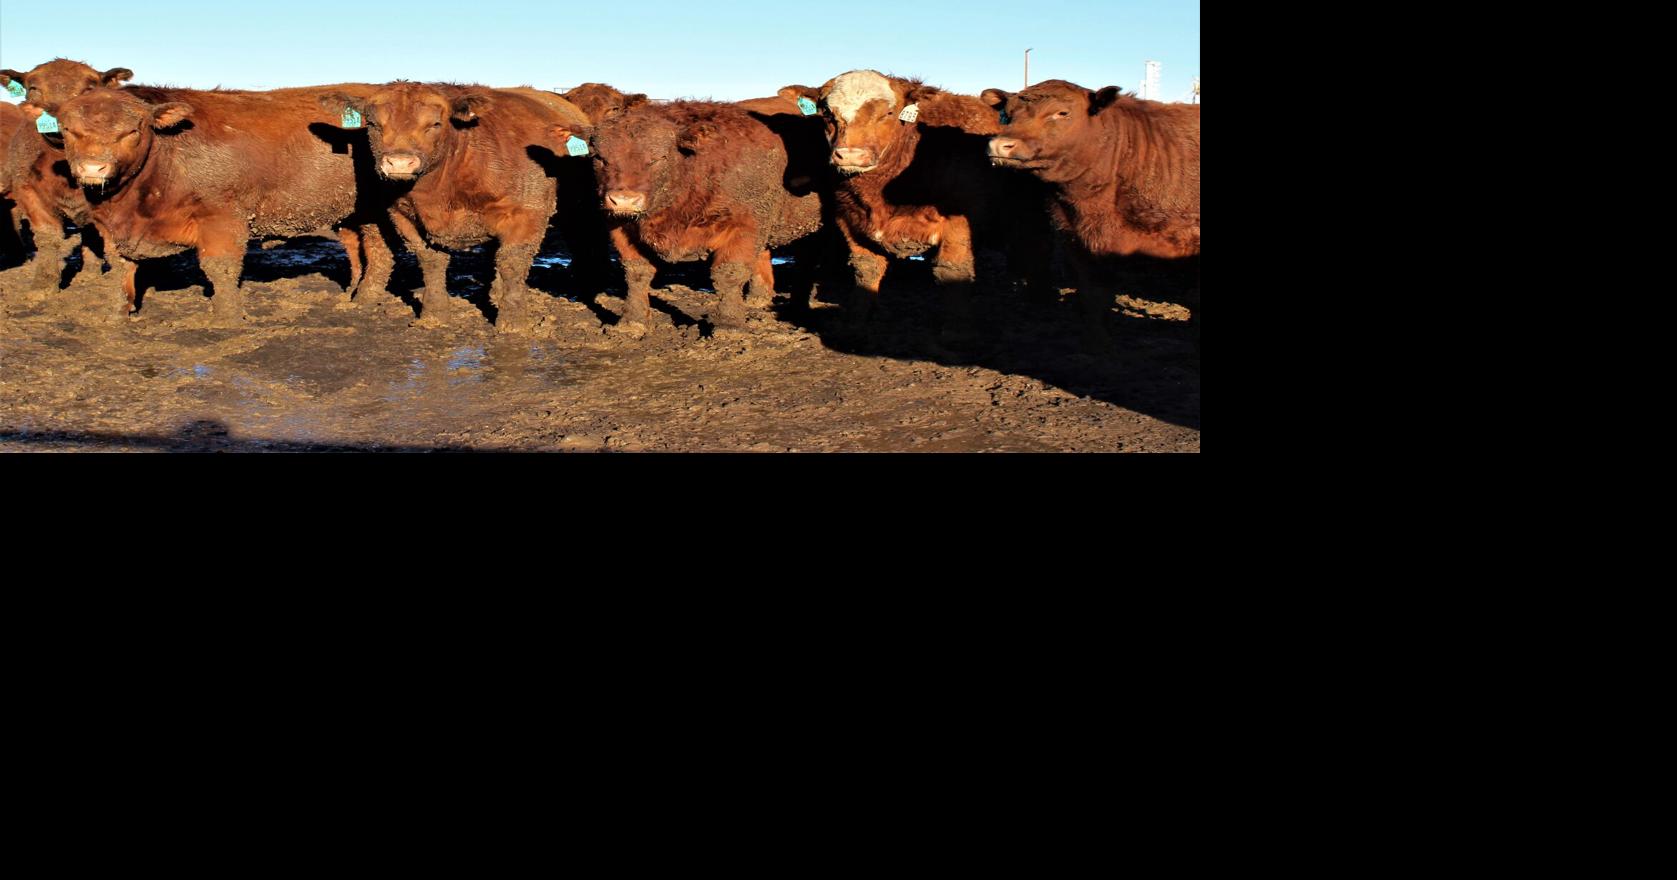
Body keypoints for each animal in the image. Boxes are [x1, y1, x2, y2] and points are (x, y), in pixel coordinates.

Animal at [47, 84, 393, 321]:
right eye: (68, 130)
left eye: (133, 130)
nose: (93, 168)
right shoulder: (111, 229)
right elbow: (119, 270)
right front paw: (116, 316)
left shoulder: (222, 216)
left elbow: (221, 268)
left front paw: (227, 318)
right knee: (356, 248)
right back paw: (351, 293)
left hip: (374, 211)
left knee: (379, 253)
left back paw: (366, 299)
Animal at [318, 82, 579, 332]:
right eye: (372, 124)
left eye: (435, 123)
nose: (400, 162)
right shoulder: (404, 216)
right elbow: (431, 262)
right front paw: (434, 314)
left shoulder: (527, 214)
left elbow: (512, 265)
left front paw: (514, 323)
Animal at [811, 70, 1054, 346]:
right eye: (826, 114)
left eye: (888, 113)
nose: (850, 155)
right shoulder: (848, 219)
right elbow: (865, 270)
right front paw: (854, 326)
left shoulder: (959, 223)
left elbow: (952, 271)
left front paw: (957, 334)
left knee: (1037, 246)